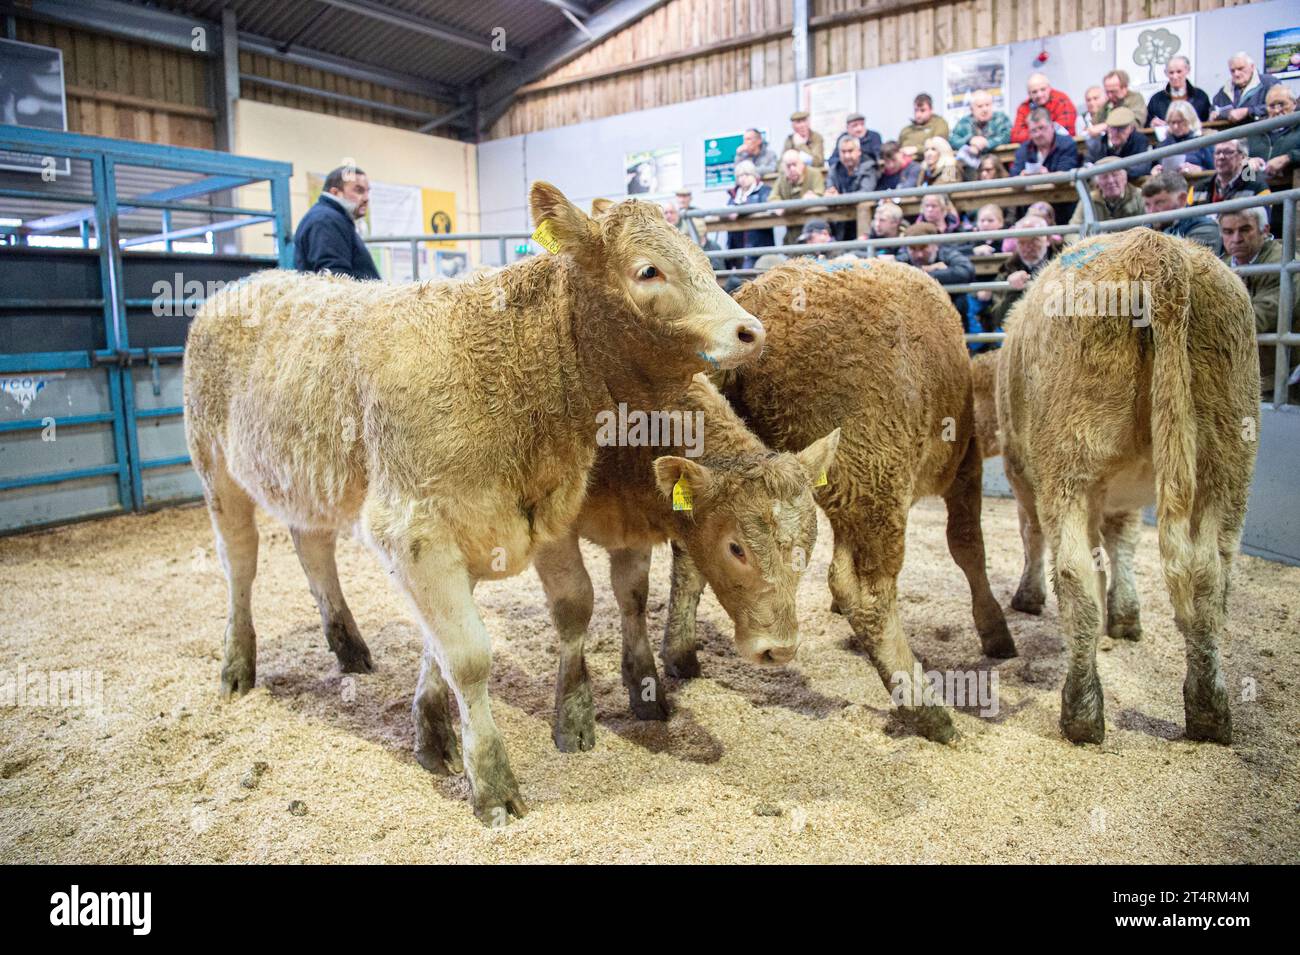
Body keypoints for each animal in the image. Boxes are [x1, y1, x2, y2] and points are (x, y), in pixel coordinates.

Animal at [182, 183, 766, 824]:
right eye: (648, 270)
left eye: (704, 259)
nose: (751, 330)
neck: (505, 366)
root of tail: (246, 283)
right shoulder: (414, 530)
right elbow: (466, 656)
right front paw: (489, 779)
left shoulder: (490, 526)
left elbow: (448, 643)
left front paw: (432, 734)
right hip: (215, 468)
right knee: (240, 562)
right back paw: (237, 666)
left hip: (305, 482)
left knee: (312, 549)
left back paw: (349, 647)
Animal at [532, 372, 839, 751]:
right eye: (736, 549)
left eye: (808, 545)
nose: (779, 649)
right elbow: (574, 608)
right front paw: (574, 717)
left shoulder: (632, 529)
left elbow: (633, 597)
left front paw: (645, 690)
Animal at [665, 258, 1016, 743]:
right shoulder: (965, 466)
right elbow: (968, 547)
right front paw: (995, 631)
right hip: (876, 478)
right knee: (866, 593)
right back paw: (928, 711)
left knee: (689, 554)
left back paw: (680, 655)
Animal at [997, 228, 1258, 744]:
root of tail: (1156, 250)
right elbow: (1122, 543)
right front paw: (1125, 615)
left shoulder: (1023, 473)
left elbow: (1041, 538)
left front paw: (1032, 598)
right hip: (1227, 460)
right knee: (1209, 579)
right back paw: (1209, 710)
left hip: (1068, 462)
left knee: (1074, 573)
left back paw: (1081, 712)